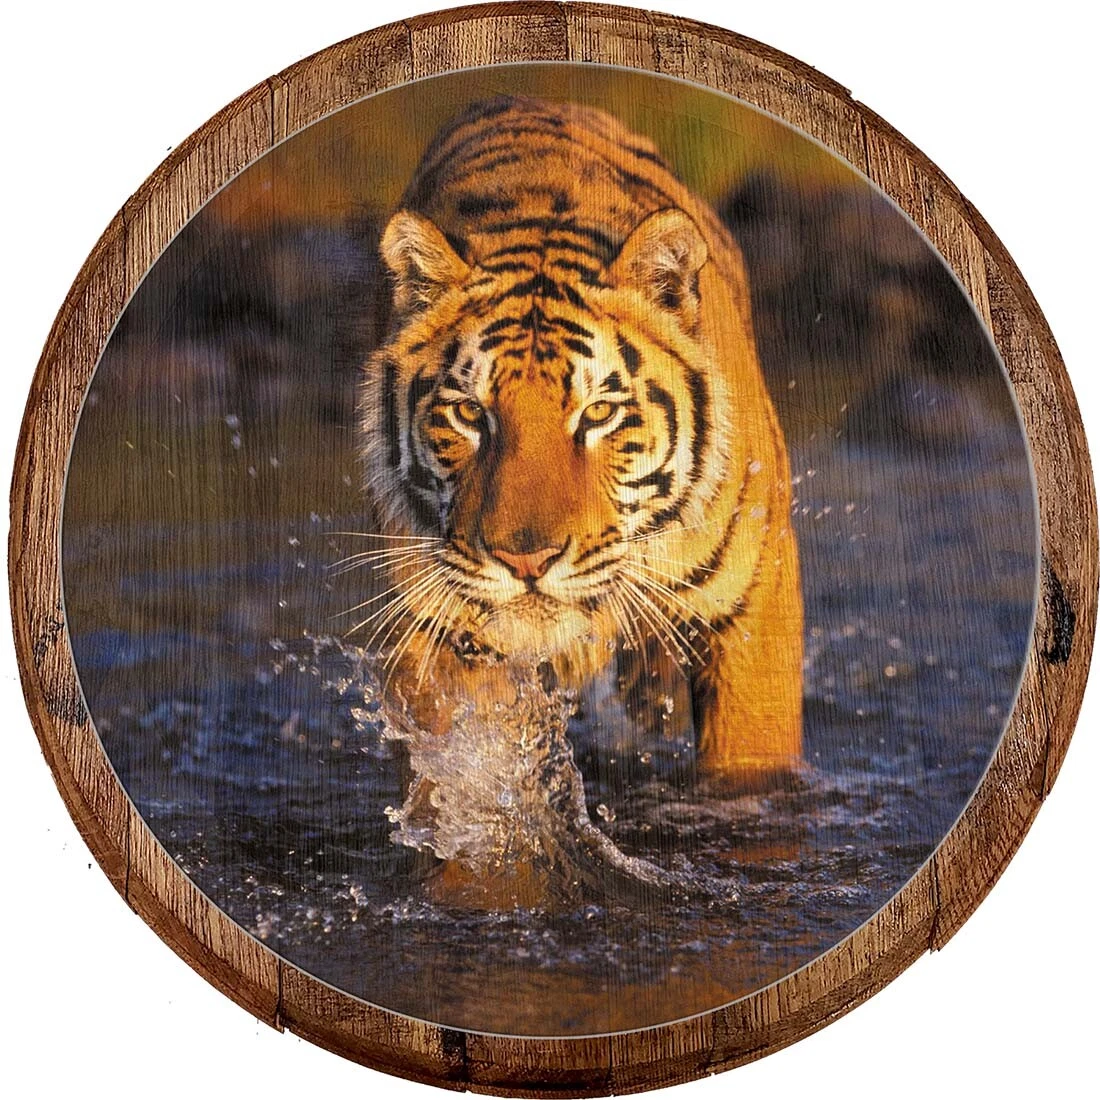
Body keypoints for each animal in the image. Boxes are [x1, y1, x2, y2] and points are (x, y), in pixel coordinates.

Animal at [358, 96, 802, 795]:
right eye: (469, 412)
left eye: (598, 414)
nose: (526, 562)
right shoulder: (432, 627)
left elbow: (748, 760)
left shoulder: (754, 609)